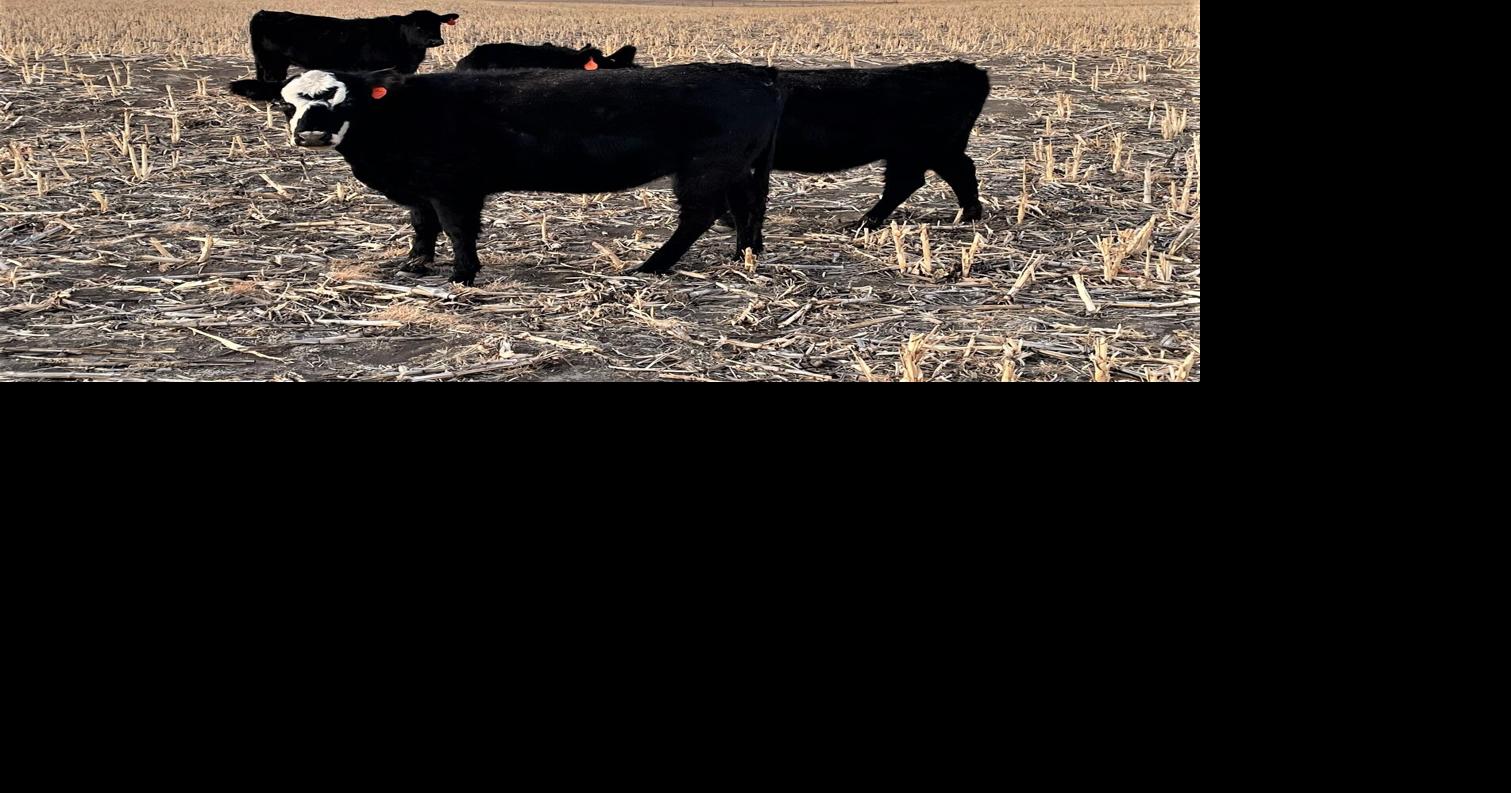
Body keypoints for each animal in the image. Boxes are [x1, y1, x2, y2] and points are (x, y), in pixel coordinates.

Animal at [229, 65, 784, 285]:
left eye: (344, 100)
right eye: (286, 104)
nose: (311, 134)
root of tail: (752, 72)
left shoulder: (453, 187)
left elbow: (456, 230)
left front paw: (462, 275)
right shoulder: (420, 189)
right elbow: (422, 226)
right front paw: (415, 264)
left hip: (705, 171)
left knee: (700, 216)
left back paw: (650, 265)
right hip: (741, 169)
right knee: (748, 209)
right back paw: (743, 257)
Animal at [248, 10, 461, 83]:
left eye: (437, 24)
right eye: (418, 26)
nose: (436, 41)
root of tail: (263, 13)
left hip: (264, 62)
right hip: (272, 63)